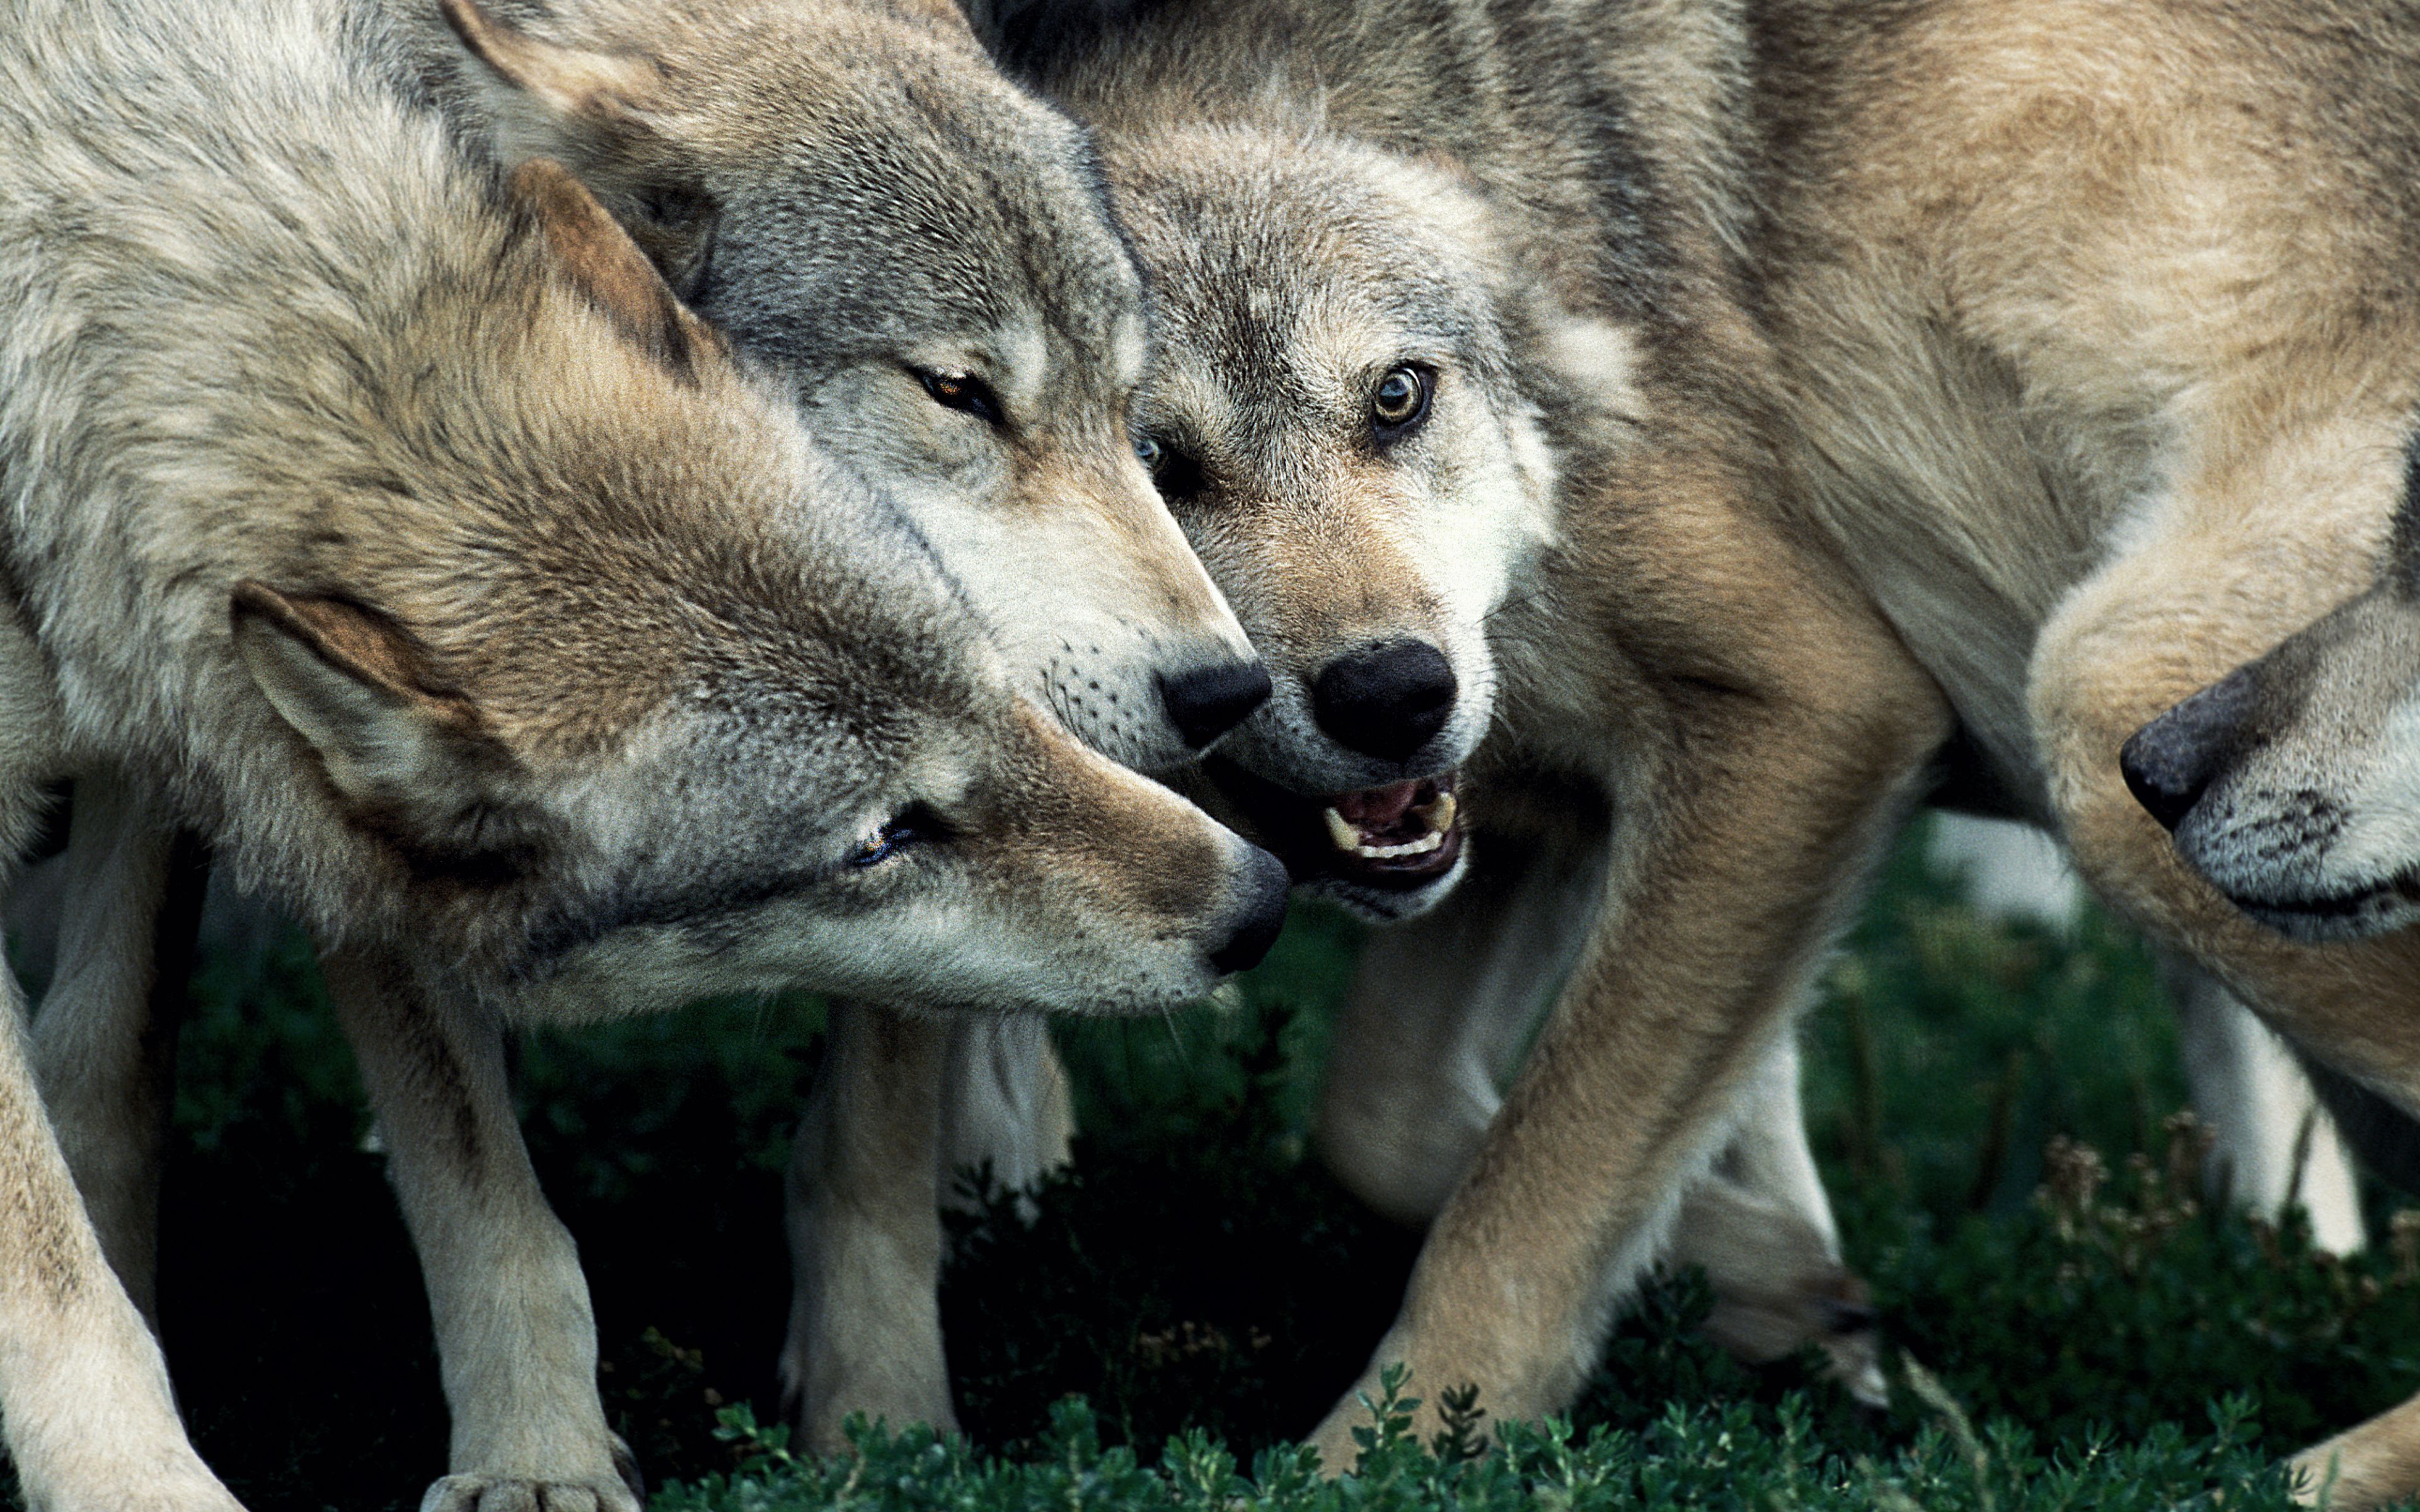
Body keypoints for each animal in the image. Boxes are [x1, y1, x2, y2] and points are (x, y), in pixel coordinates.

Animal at [0, 0, 1286, 1505]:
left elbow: (873, 1143)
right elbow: (470, 1186)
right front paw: (534, 1460)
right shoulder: (281, 787)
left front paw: (884, 1426)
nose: (1228, 694)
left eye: (1131, 412)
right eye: (958, 392)